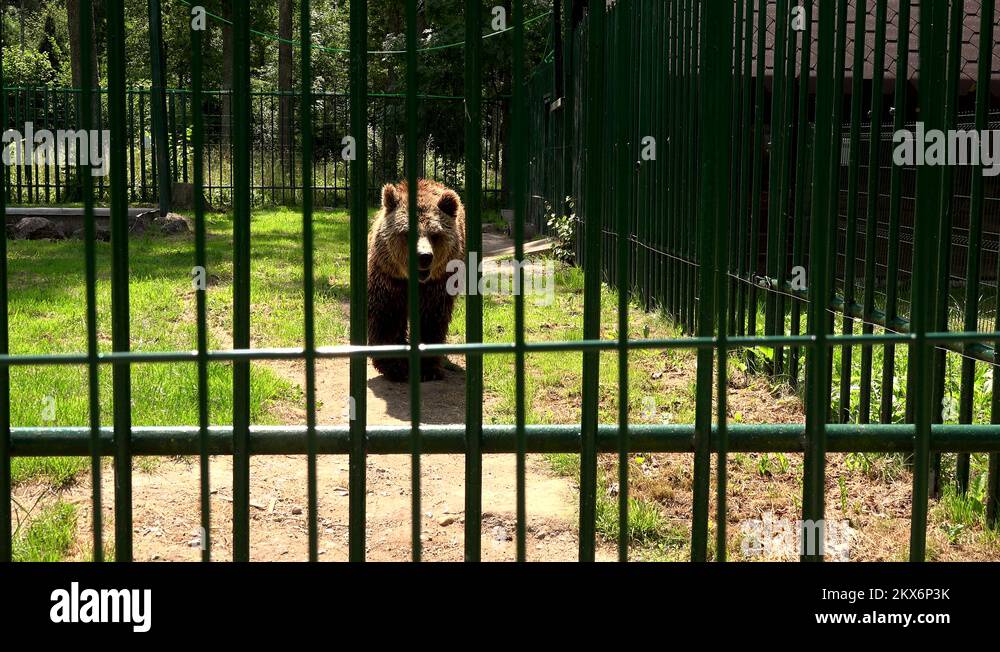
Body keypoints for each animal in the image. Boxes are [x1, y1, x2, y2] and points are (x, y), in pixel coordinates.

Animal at [367, 178, 466, 382]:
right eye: (406, 232)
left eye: (435, 234)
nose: (424, 256)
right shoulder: (389, 277)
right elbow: (387, 316)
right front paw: (395, 367)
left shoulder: (437, 283)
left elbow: (431, 319)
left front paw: (428, 368)